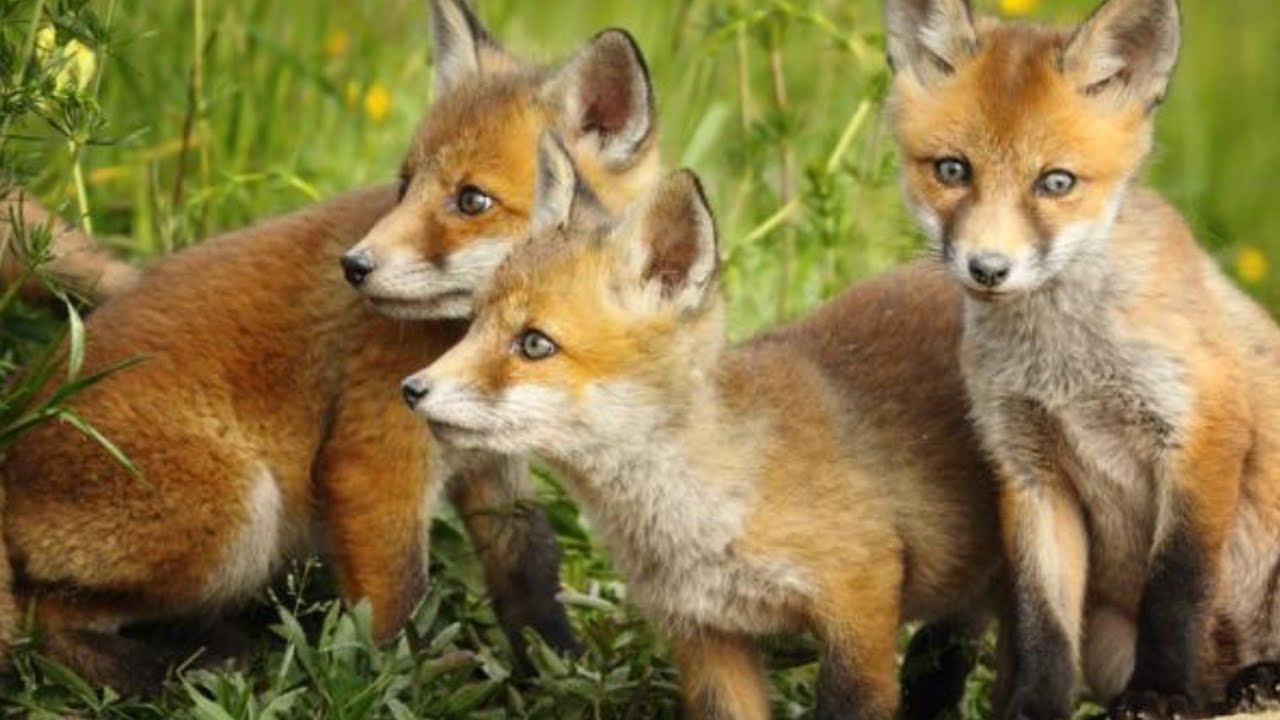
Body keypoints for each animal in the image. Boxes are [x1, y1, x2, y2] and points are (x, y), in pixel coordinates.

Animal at [0, 0, 662, 694]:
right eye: (404, 185)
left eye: (471, 200)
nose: (354, 266)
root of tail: (15, 427)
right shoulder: (372, 459)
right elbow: (395, 604)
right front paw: (394, 686)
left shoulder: (490, 465)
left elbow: (530, 574)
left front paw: (563, 671)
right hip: (240, 514)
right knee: (40, 622)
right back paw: (160, 668)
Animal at [885, 0, 1280, 716]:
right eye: (953, 170)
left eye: (1056, 182)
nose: (988, 268)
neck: (1065, 364)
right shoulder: (1028, 468)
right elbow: (1042, 620)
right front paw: (1035, 705)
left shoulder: (1200, 430)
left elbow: (1175, 590)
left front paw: (1160, 692)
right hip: (1105, 638)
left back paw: (1260, 677)